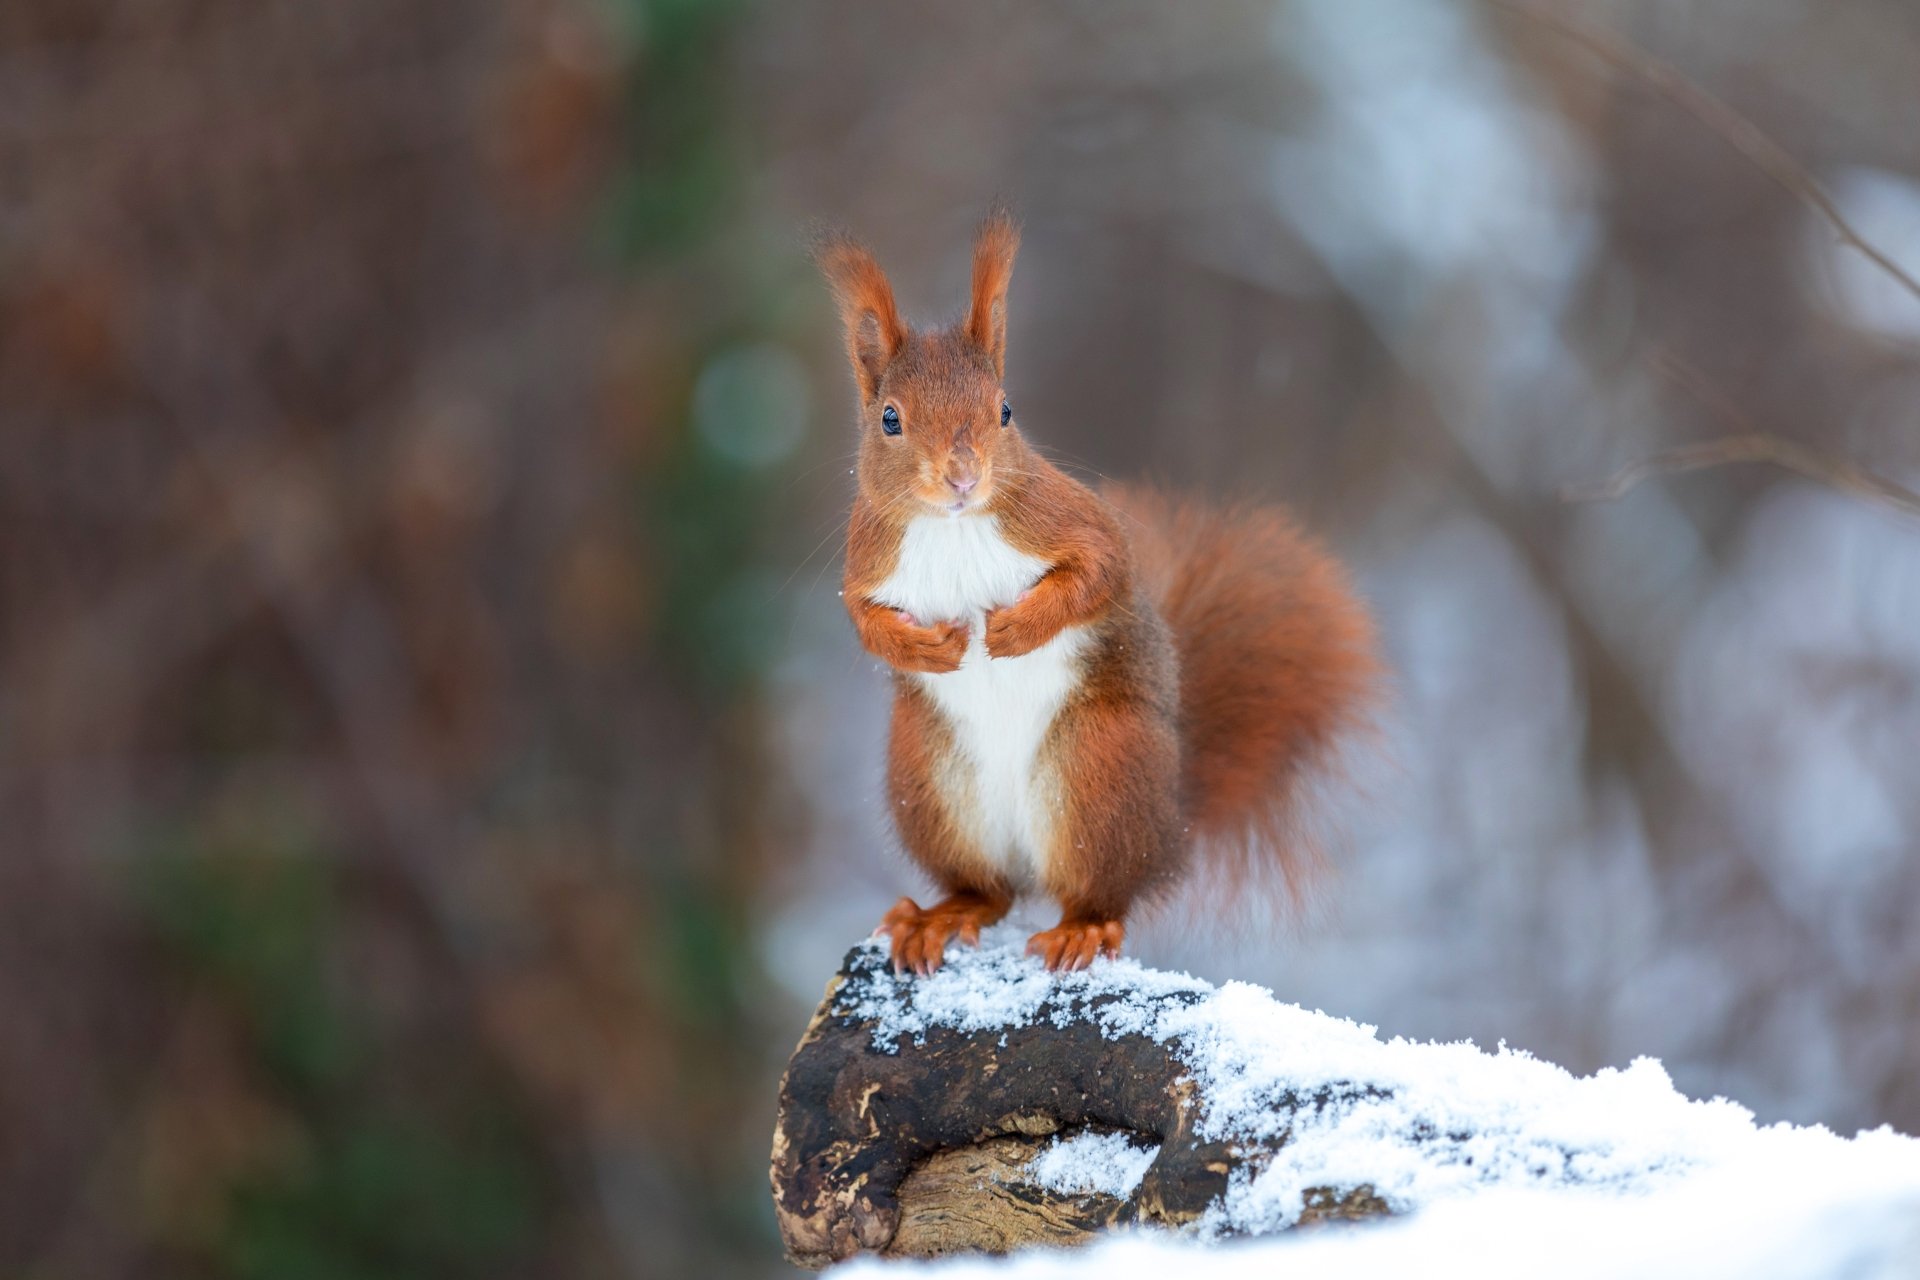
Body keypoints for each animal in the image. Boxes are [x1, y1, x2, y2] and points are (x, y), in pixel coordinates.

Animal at [816, 207, 1383, 974]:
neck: (954, 528)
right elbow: (862, 621)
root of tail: (1172, 825)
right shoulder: (866, 564)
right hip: (933, 788)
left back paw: (1081, 929)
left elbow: (1100, 574)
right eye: (890, 420)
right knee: (990, 892)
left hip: (1096, 768)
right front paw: (927, 648)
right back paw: (939, 917)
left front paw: (1015, 630)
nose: (964, 477)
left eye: (1005, 410)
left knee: (1101, 892)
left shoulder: (1072, 523)